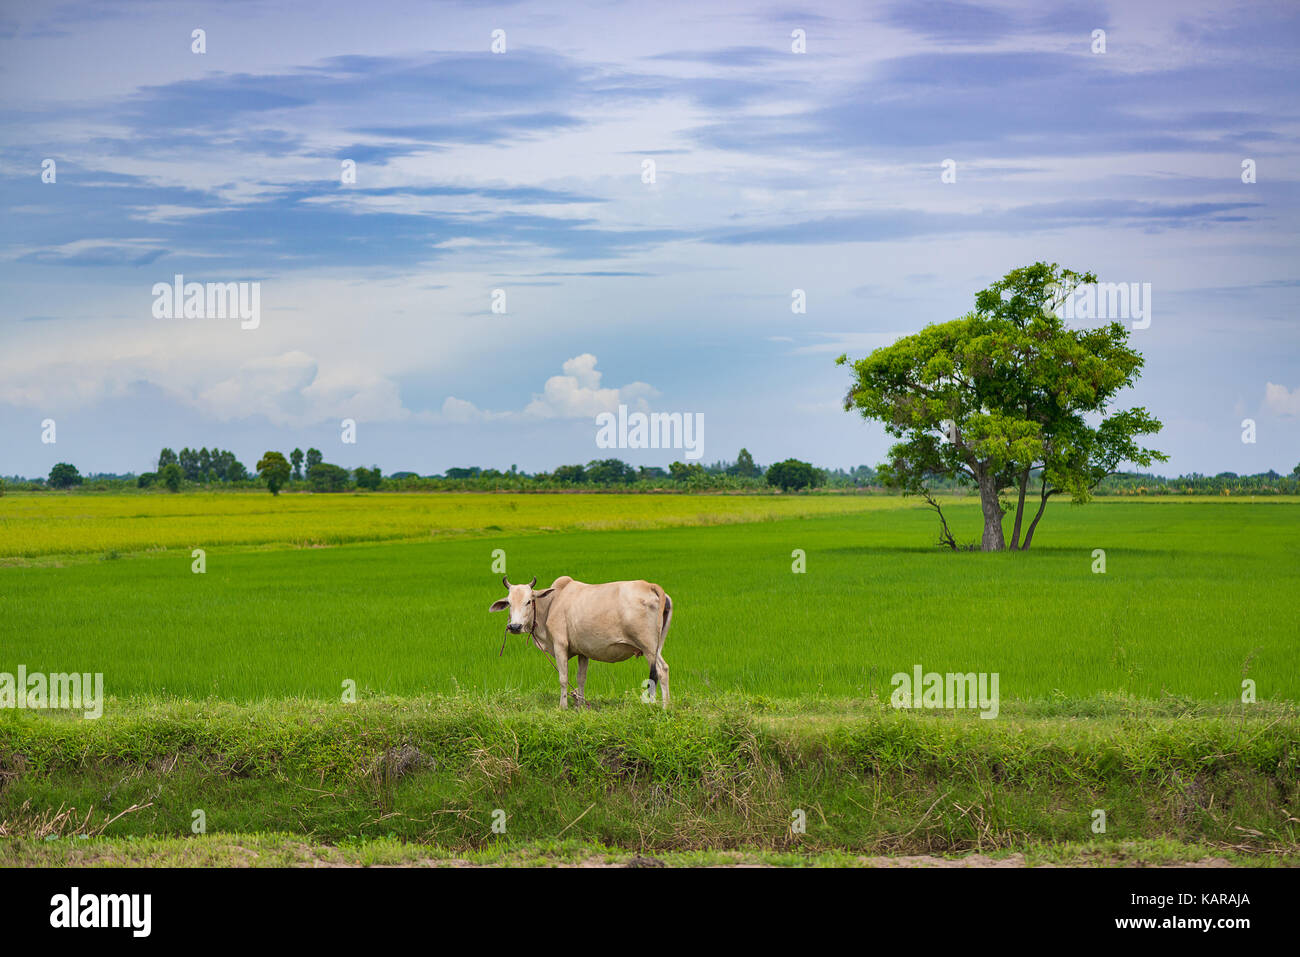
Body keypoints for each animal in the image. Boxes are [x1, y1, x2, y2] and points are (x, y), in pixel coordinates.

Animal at [489, 575, 673, 708]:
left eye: (528, 601)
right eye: (509, 603)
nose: (514, 626)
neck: (552, 603)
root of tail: (649, 585)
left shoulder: (560, 645)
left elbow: (563, 678)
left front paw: (563, 707)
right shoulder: (583, 652)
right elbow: (581, 678)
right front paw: (580, 705)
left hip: (648, 647)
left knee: (658, 671)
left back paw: (658, 706)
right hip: (657, 647)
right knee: (664, 669)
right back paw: (667, 706)